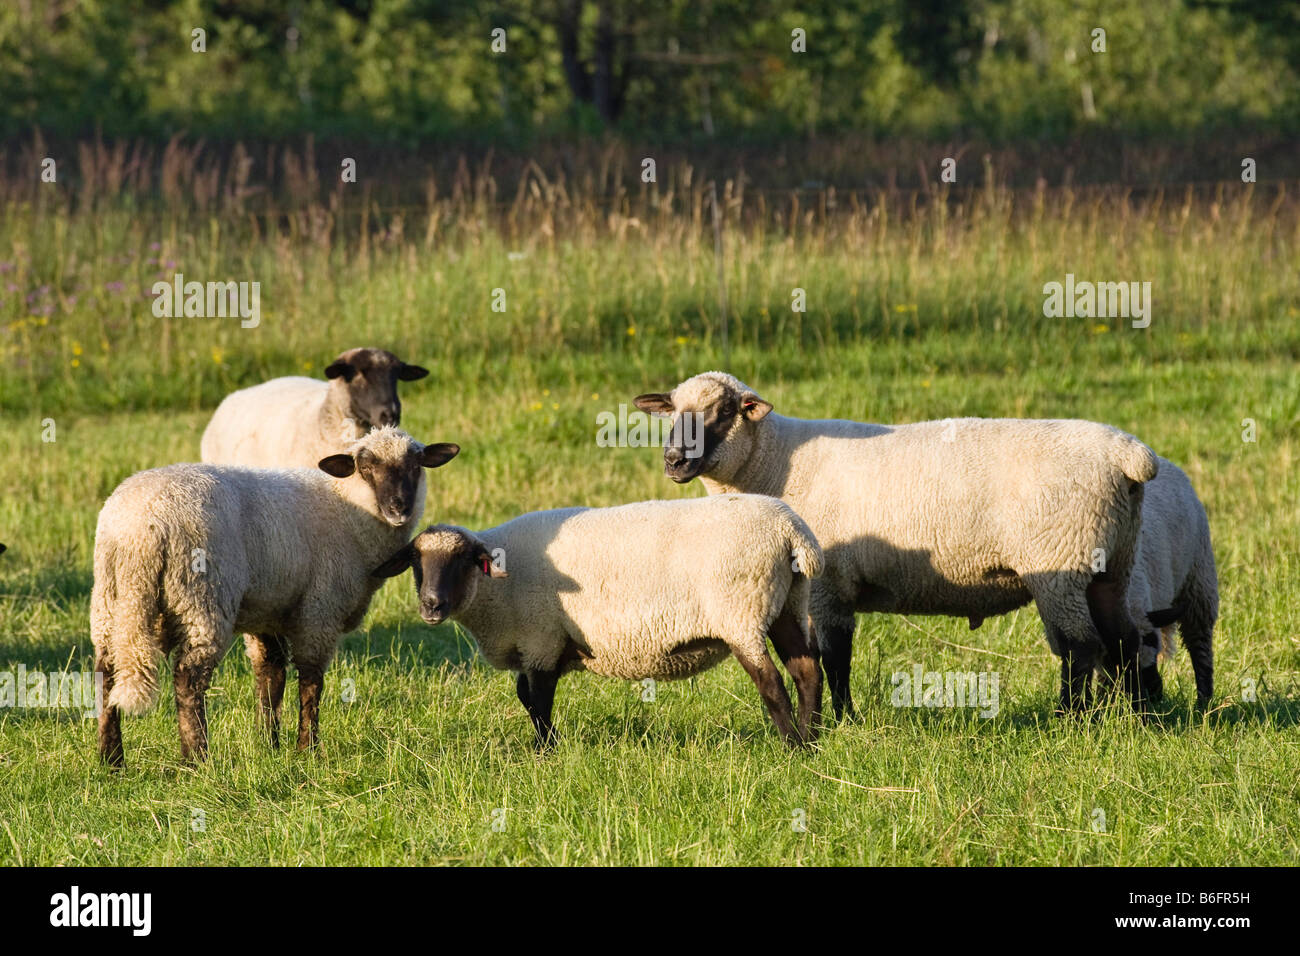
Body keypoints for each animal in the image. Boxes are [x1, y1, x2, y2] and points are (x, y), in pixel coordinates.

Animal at [91, 426, 460, 767]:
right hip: (202, 597)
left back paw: (112, 759)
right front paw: (307, 750)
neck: (352, 513)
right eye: (366, 467)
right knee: (188, 678)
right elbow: (311, 681)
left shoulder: (267, 613)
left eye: (416, 465)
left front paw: (269, 745)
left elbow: (270, 677)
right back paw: (196, 759)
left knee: (106, 673)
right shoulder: (320, 610)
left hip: (112, 600)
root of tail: (140, 530)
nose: (400, 508)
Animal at [372, 494, 826, 749]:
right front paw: (549, 745)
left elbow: (538, 700)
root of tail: (792, 529)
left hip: (742, 612)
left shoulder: (541, 638)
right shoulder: (537, 644)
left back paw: (790, 748)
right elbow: (525, 696)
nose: (431, 605)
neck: (494, 589)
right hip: (787, 602)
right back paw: (813, 740)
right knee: (807, 671)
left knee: (772, 683)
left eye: (463, 560)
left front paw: (545, 752)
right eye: (416, 562)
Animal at [633, 371, 1160, 718]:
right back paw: (1137, 719)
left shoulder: (829, 582)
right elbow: (830, 657)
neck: (777, 462)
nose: (674, 461)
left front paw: (843, 721)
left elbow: (833, 656)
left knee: (1081, 647)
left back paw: (1071, 718)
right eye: (672, 413)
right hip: (1111, 562)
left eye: (722, 413)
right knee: (1125, 640)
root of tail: (1129, 456)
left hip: (1060, 562)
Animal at [1098, 457, 1217, 707]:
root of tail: (1166, 461)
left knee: (1200, 645)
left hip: (1198, 580)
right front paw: (1104, 704)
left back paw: (1204, 704)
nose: (1154, 695)